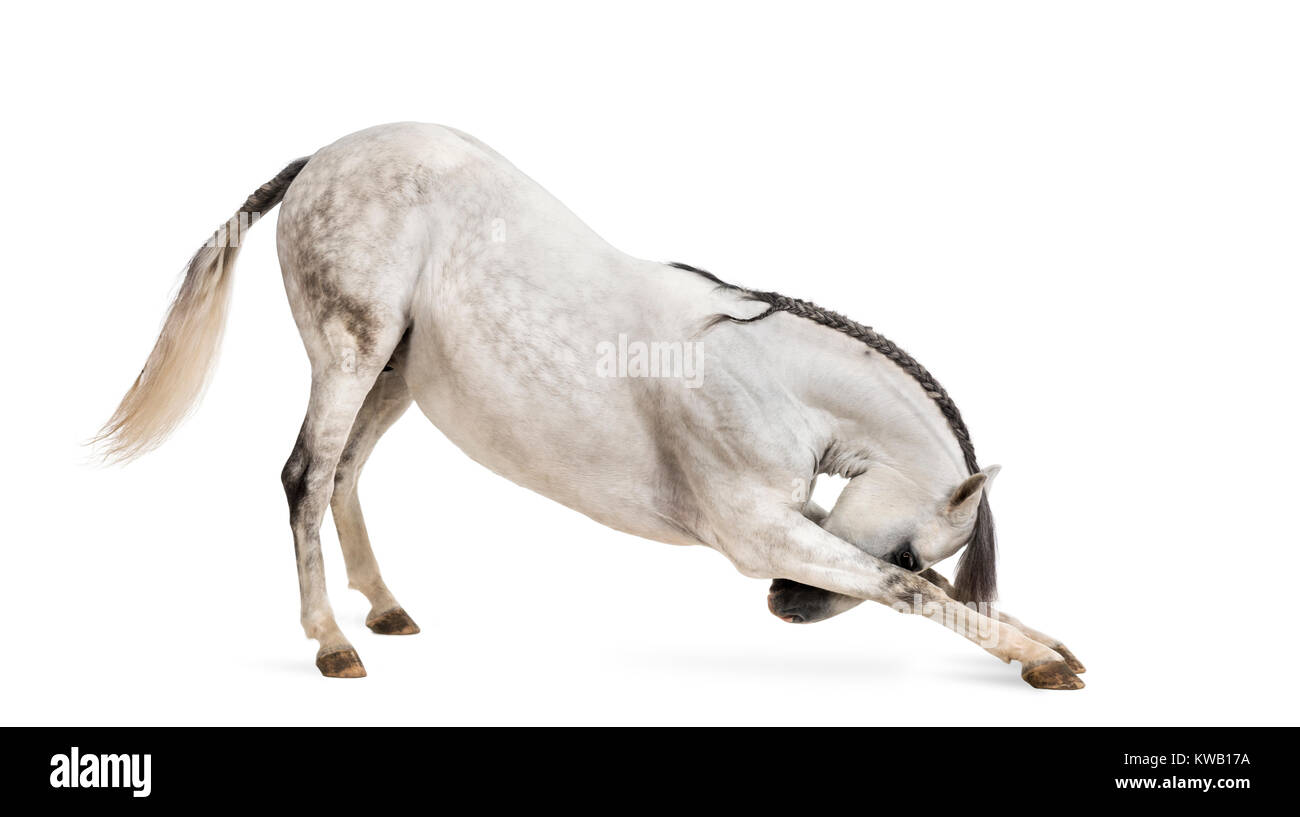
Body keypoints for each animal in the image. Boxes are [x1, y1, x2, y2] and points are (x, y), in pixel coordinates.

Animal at [95, 122, 1084, 689]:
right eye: (915, 543)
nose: (783, 606)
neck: (763, 374)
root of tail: (319, 162)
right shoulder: (756, 533)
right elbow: (899, 592)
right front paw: (1040, 661)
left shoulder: (794, 515)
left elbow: (925, 591)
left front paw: (1050, 643)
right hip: (352, 352)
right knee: (305, 474)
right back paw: (334, 642)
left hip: (395, 375)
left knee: (342, 472)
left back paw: (383, 607)